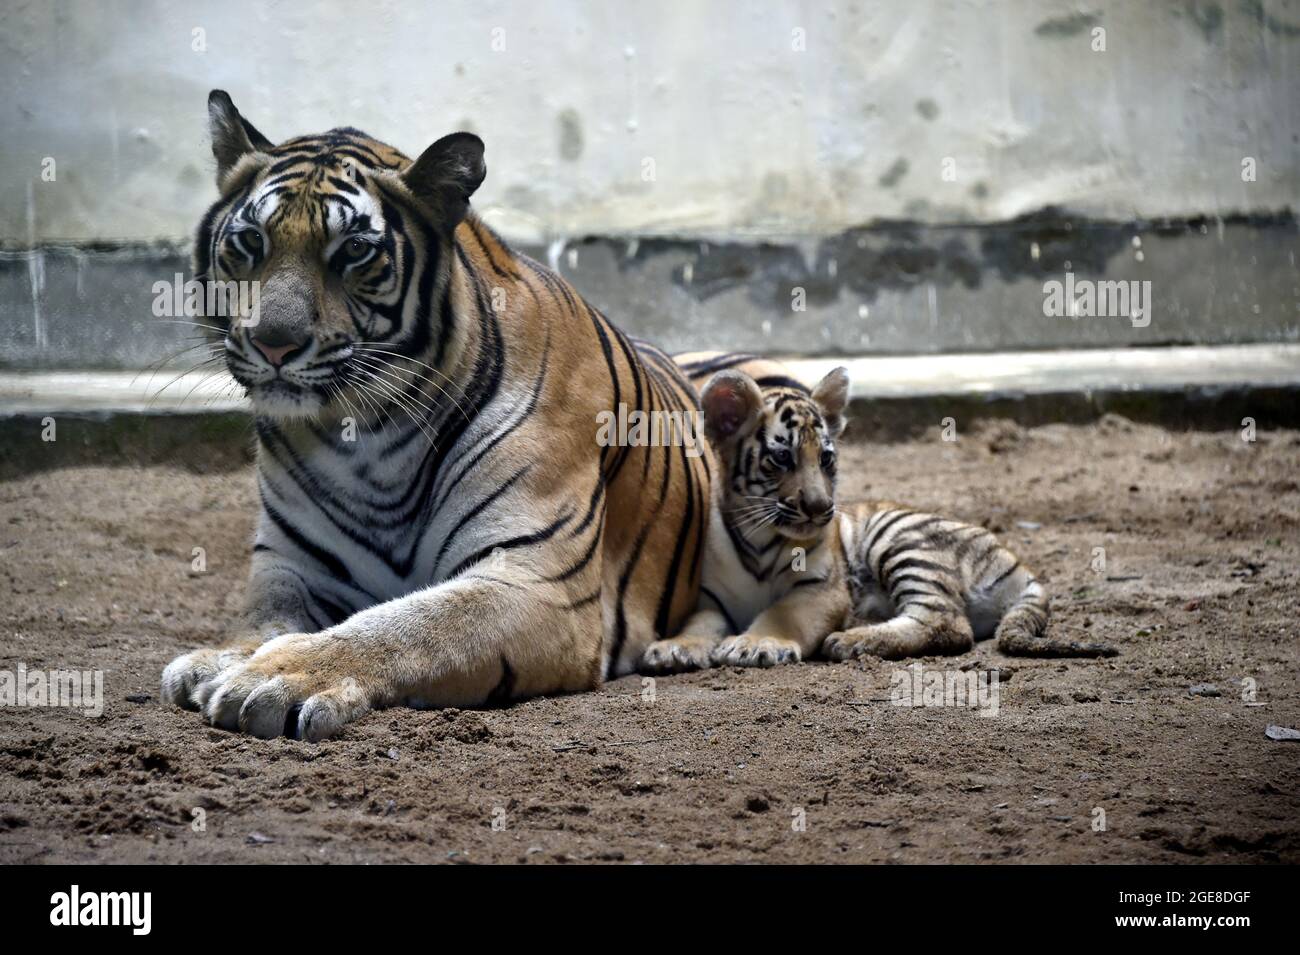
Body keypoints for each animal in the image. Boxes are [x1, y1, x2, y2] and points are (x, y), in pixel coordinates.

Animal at [160, 91, 711, 740]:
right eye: (250, 242)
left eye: (353, 250)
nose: (274, 343)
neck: (365, 439)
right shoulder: (292, 565)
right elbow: (264, 620)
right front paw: (218, 658)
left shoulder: (535, 581)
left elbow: (406, 628)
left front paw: (277, 675)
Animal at [643, 355, 1117, 668]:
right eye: (781, 459)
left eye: (826, 460)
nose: (821, 508)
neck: (759, 541)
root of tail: (1017, 561)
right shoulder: (710, 597)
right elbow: (699, 624)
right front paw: (674, 647)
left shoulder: (822, 588)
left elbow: (782, 613)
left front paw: (755, 643)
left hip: (900, 540)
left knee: (946, 622)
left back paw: (851, 639)